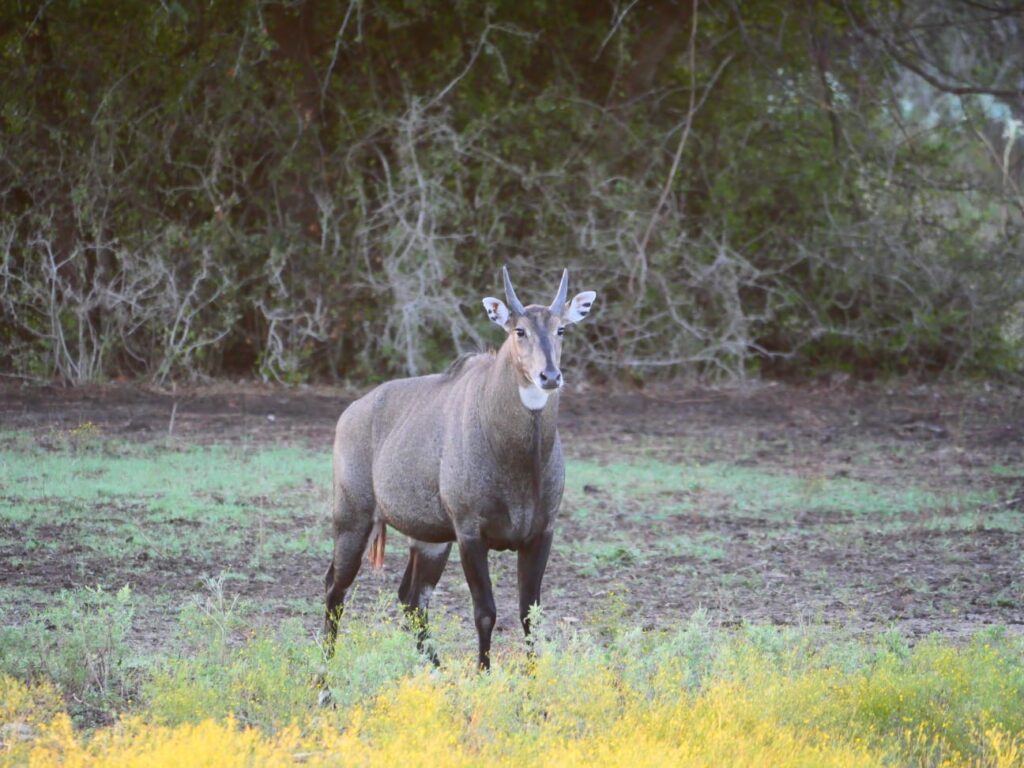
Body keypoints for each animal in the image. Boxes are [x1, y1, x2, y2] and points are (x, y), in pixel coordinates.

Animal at [323, 267, 597, 669]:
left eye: (561, 329)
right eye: (519, 331)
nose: (549, 376)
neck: (519, 461)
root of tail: (350, 412)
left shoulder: (541, 533)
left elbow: (530, 613)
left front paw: (533, 681)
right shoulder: (470, 533)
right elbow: (485, 612)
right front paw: (483, 674)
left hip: (430, 539)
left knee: (411, 597)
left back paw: (436, 670)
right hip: (353, 520)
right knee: (335, 588)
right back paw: (324, 674)